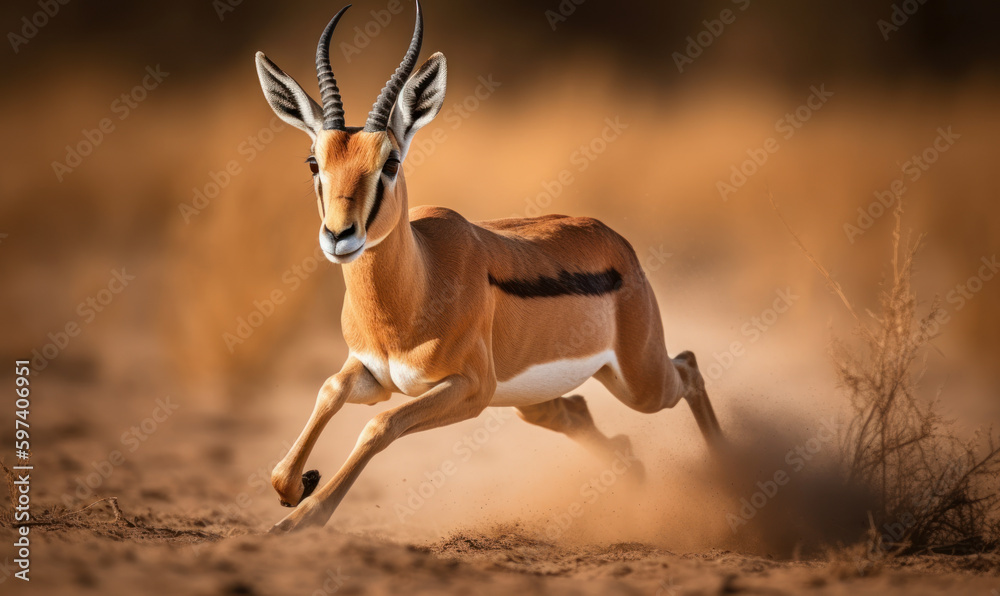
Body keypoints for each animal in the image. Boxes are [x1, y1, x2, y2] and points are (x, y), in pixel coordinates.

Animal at [255, 0, 723, 533]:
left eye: (390, 162)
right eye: (315, 162)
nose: (339, 235)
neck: (418, 287)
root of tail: (619, 243)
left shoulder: (471, 388)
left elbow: (379, 425)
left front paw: (302, 517)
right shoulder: (375, 376)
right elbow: (330, 389)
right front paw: (296, 487)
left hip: (640, 381)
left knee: (689, 367)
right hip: (538, 398)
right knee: (575, 411)